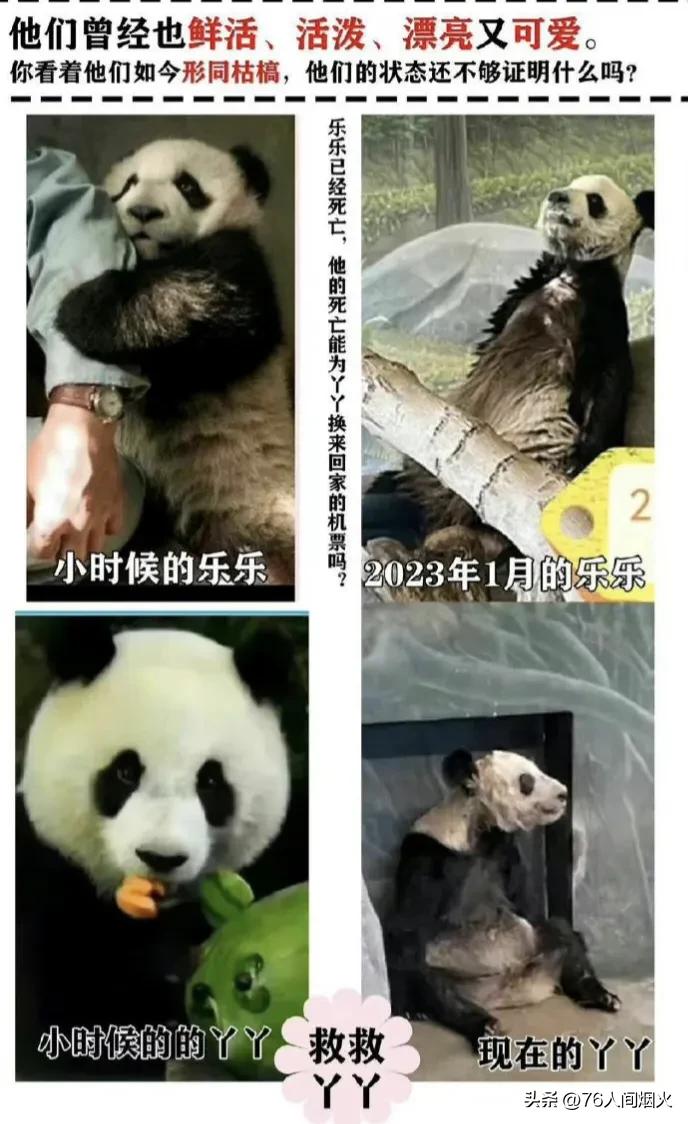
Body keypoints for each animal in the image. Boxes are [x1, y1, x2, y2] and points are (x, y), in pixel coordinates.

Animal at [55, 139, 294, 584]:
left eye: (188, 186)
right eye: (128, 184)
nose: (143, 212)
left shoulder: (242, 264)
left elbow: (191, 300)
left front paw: (79, 308)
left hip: (251, 498)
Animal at [367, 174, 654, 579]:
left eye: (595, 201)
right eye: (569, 184)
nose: (557, 196)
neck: (572, 270)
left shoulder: (602, 313)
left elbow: (607, 384)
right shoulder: (525, 291)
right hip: (425, 479)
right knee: (392, 491)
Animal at [384, 748, 620, 1052]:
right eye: (526, 781)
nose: (563, 794)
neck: (477, 829)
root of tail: (509, 991)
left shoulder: (504, 853)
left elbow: (528, 905)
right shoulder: (427, 855)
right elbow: (407, 927)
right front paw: (408, 1008)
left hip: (537, 946)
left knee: (561, 934)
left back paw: (599, 994)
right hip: (452, 965)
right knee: (432, 980)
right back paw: (482, 1025)